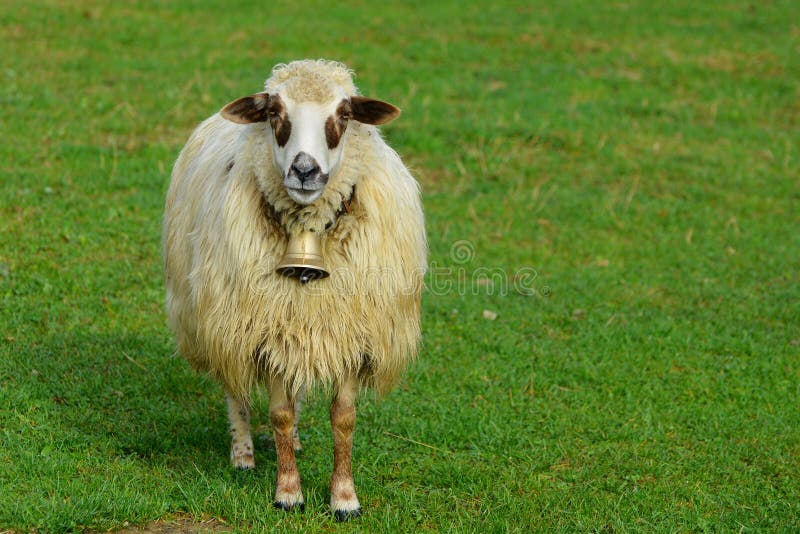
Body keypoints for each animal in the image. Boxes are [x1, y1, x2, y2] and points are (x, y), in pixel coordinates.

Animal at [162, 60, 426, 520]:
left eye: (344, 114)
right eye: (274, 112)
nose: (305, 171)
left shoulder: (348, 333)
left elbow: (343, 419)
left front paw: (344, 498)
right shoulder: (262, 331)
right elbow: (280, 413)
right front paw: (288, 493)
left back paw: (297, 443)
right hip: (224, 319)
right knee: (236, 391)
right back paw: (243, 454)